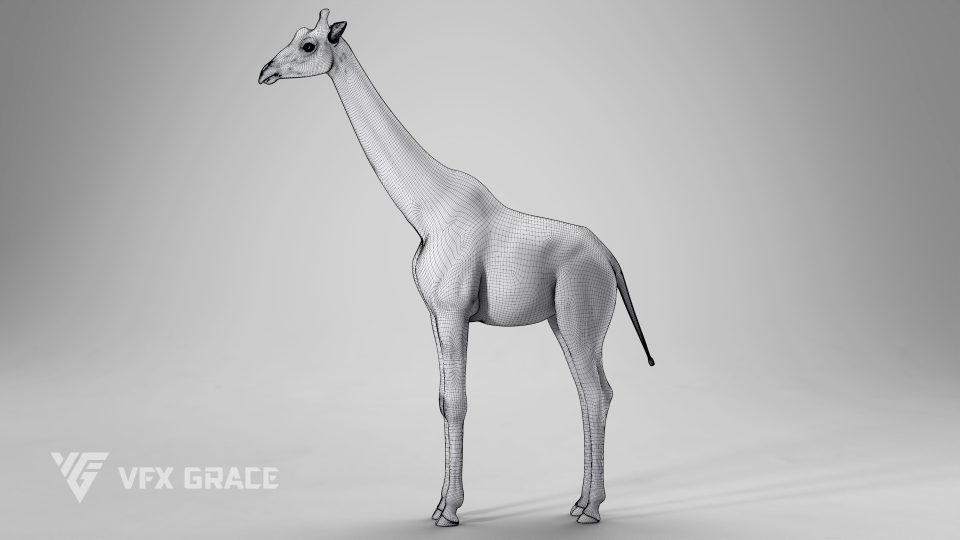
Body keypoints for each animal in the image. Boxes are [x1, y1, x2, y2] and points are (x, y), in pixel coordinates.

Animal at [259, 8, 656, 526]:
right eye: (293, 37)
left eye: (309, 46)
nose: (264, 71)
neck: (426, 210)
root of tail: (610, 257)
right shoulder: (435, 314)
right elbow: (443, 398)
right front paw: (442, 504)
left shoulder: (452, 312)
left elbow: (457, 402)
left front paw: (447, 509)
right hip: (561, 322)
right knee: (591, 392)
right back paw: (579, 503)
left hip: (579, 317)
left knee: (596, 391)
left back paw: (590, 508)